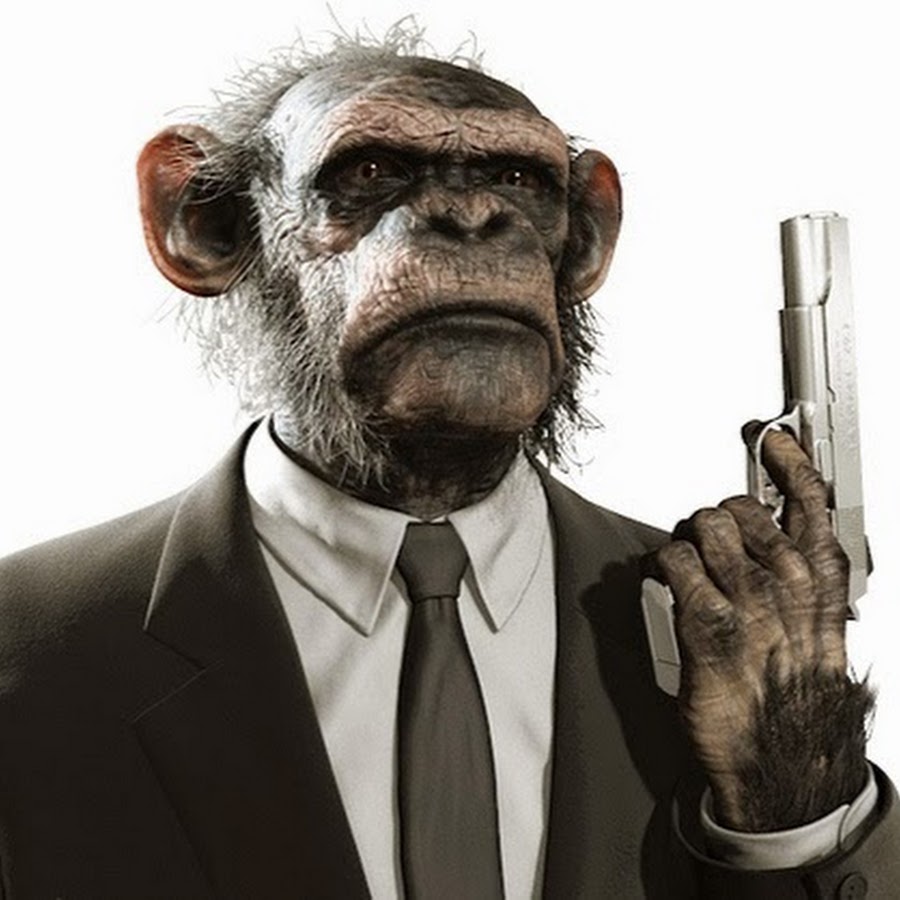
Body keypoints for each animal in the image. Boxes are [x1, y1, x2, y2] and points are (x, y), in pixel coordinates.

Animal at [0, 28, 897, 898]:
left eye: (515, 177)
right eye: (373, 169)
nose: (470, 220)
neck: (425, 515)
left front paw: (772, 693)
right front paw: (768, 647)